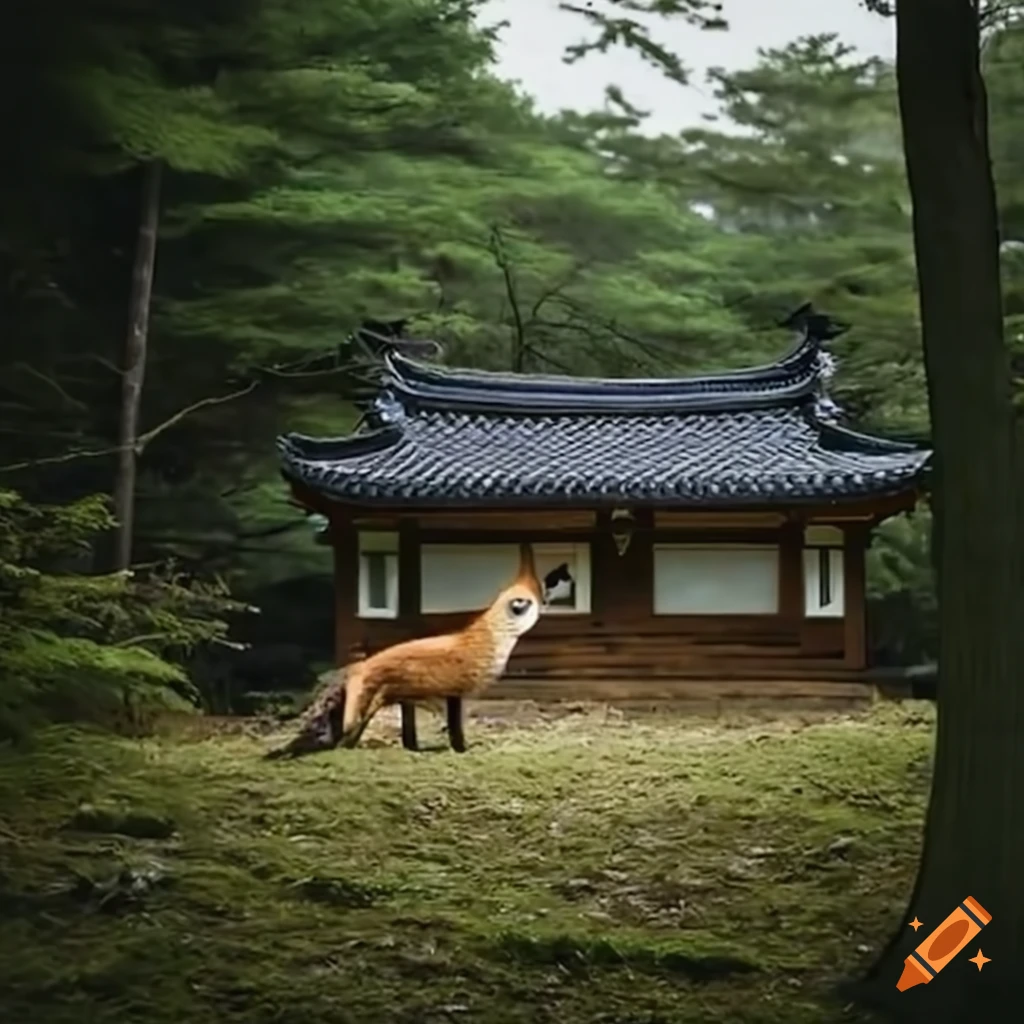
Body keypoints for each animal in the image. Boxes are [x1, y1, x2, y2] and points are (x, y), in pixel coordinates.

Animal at [265, 543, 546, 758]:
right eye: (532, 599)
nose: (547, 601)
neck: (486, 642)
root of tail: (359, 666)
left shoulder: (448, 697)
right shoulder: (454, 693)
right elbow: (456, 731)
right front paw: (462, 750)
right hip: (363, 712)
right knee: (343, 740)